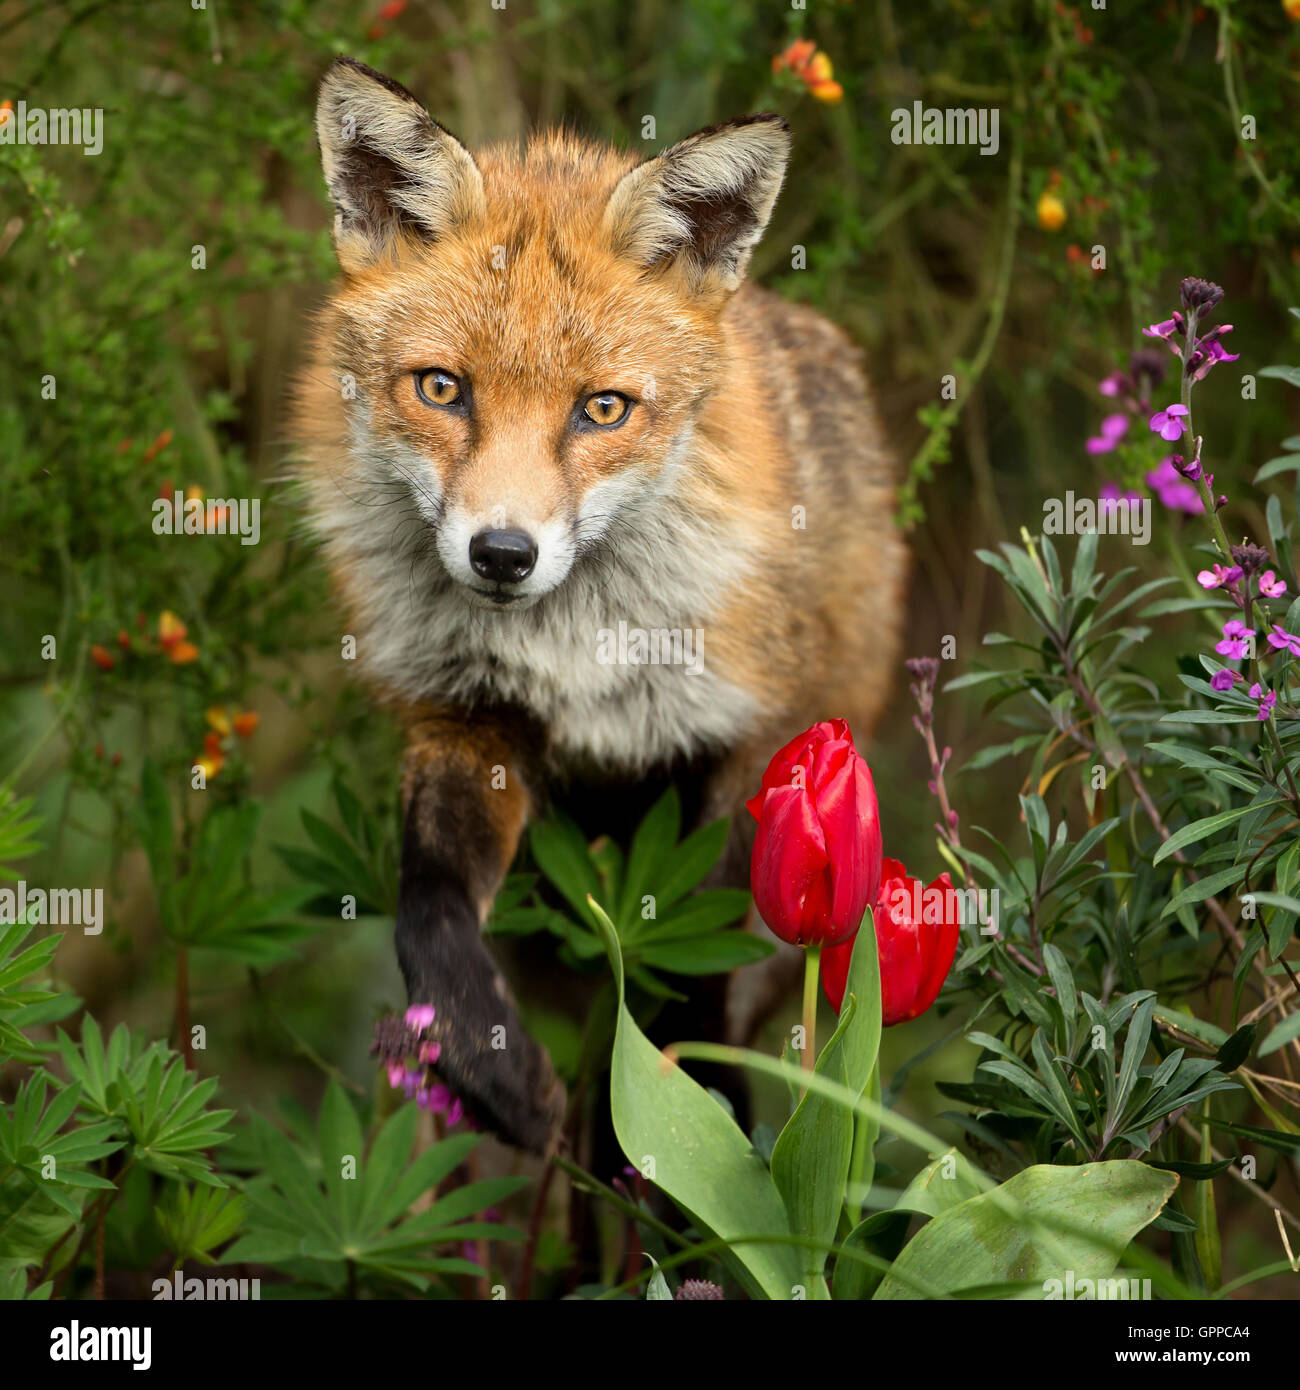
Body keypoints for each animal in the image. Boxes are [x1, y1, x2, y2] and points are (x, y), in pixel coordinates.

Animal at [295, 57, 906, 1154]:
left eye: (602, 409)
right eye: (441, 389)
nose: (502, 554)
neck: (573, 647)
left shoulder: (750, 746)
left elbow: (687, 977)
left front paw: (684, 1128)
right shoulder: (472, 720)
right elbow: (427, 909)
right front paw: (492, 1068)